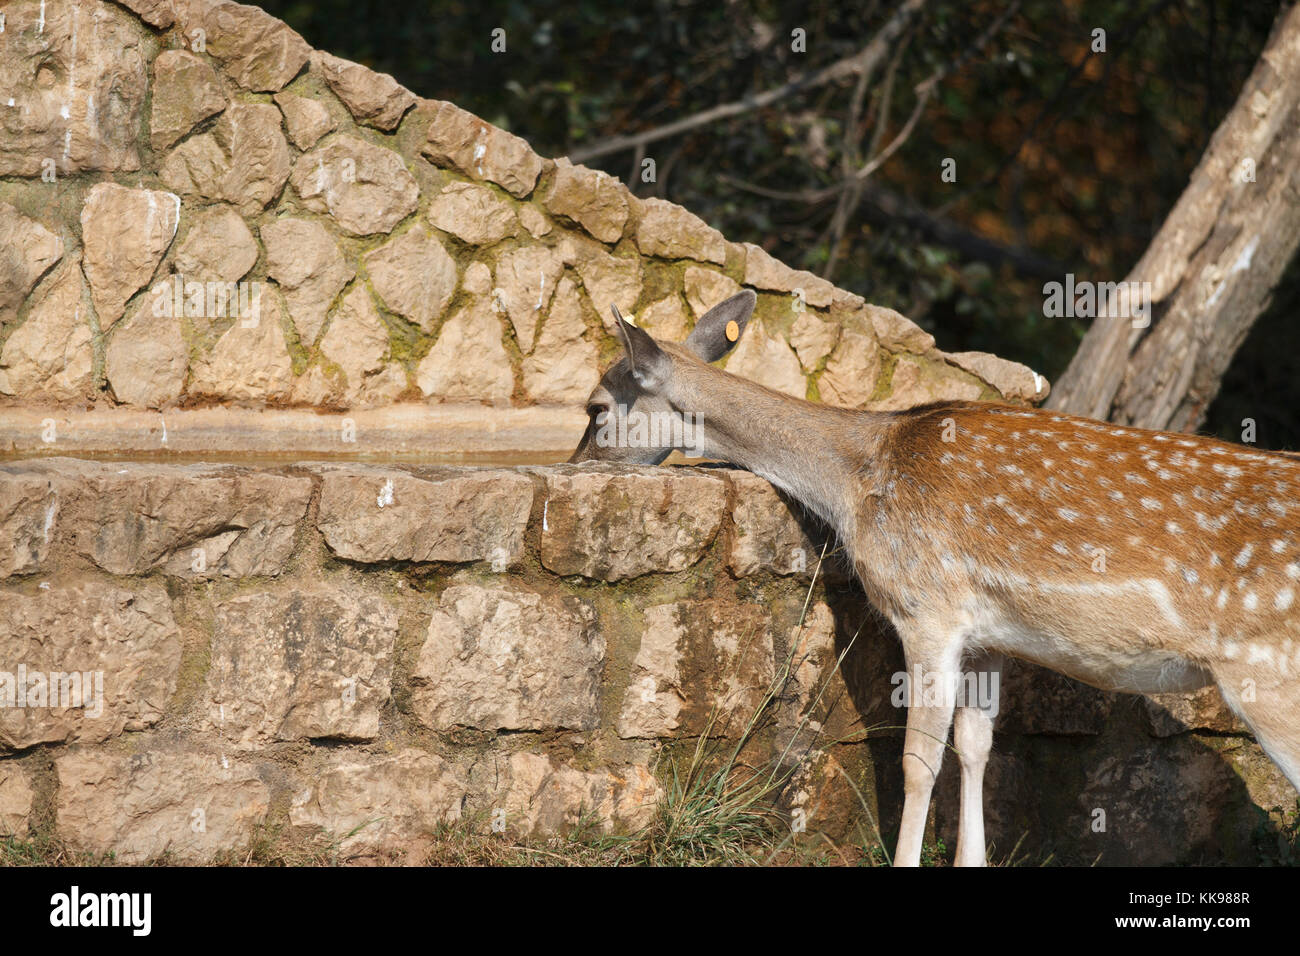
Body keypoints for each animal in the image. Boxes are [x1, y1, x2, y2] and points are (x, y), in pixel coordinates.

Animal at [568, 289, 1300, 866]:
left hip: (1271, 676)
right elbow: (976, 749)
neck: (856, 481)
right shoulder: (989, 636)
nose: (575, 468)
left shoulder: (926, 608)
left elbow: (918, 763)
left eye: (597, 407)